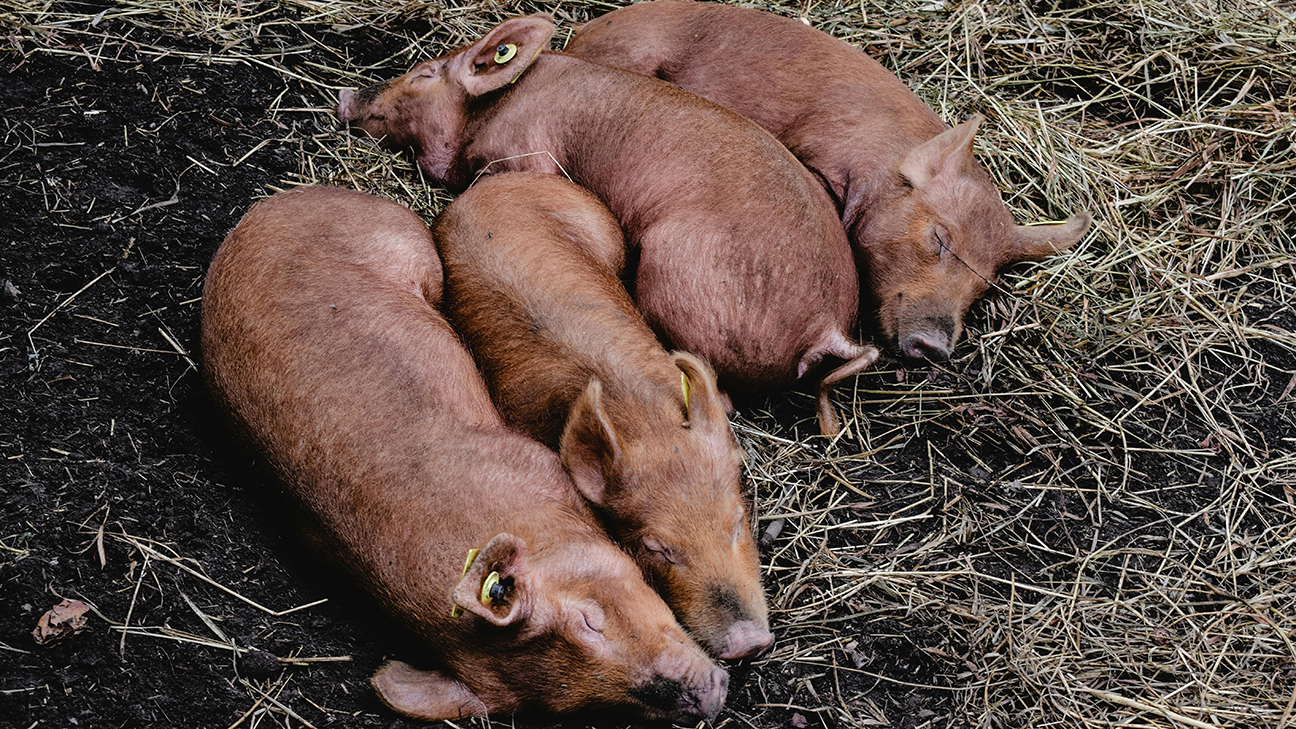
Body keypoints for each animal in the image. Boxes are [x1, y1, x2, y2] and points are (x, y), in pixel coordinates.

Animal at [199, 185, 727, 722]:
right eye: (579, 705)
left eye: (589, 621)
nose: (709, 697)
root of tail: (267, 207)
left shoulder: (535, 462)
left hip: (410, 245)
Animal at [337, 13, 878, 436]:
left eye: (424, 73)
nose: (343, 94)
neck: (487, 113)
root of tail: (826, 324)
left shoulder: (527, 154)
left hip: (678, 272)